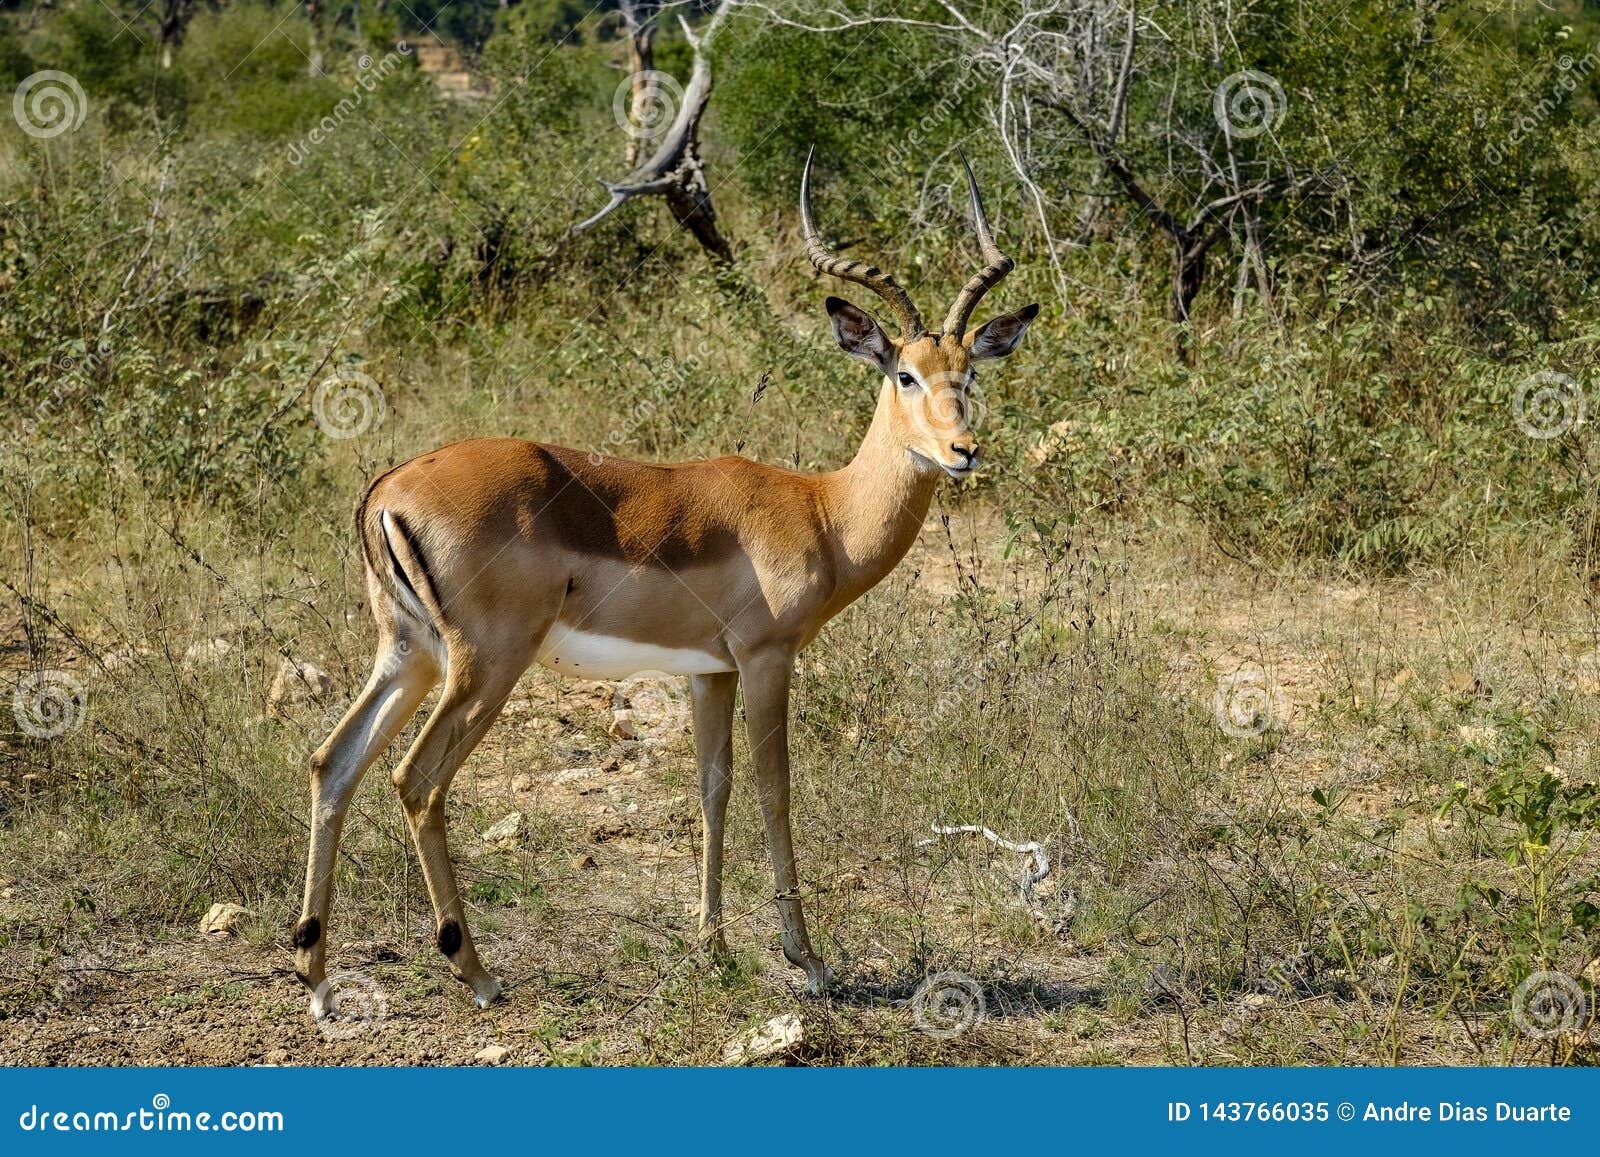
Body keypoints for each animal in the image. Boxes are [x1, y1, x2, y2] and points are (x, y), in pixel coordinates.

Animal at [292, 150, 1038, 1016]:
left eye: (968, 372)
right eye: (906, 375)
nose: (963, 451)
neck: (821, 509)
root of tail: (387, 489)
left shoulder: (708, 671)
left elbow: (712, 788)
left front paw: (712, 946)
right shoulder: (767, 656)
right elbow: (774, 789)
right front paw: (808, 960)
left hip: (407, 654)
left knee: (333, 761)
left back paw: (315, 974)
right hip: (484, 665)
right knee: (415, 779)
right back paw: (475, 970)